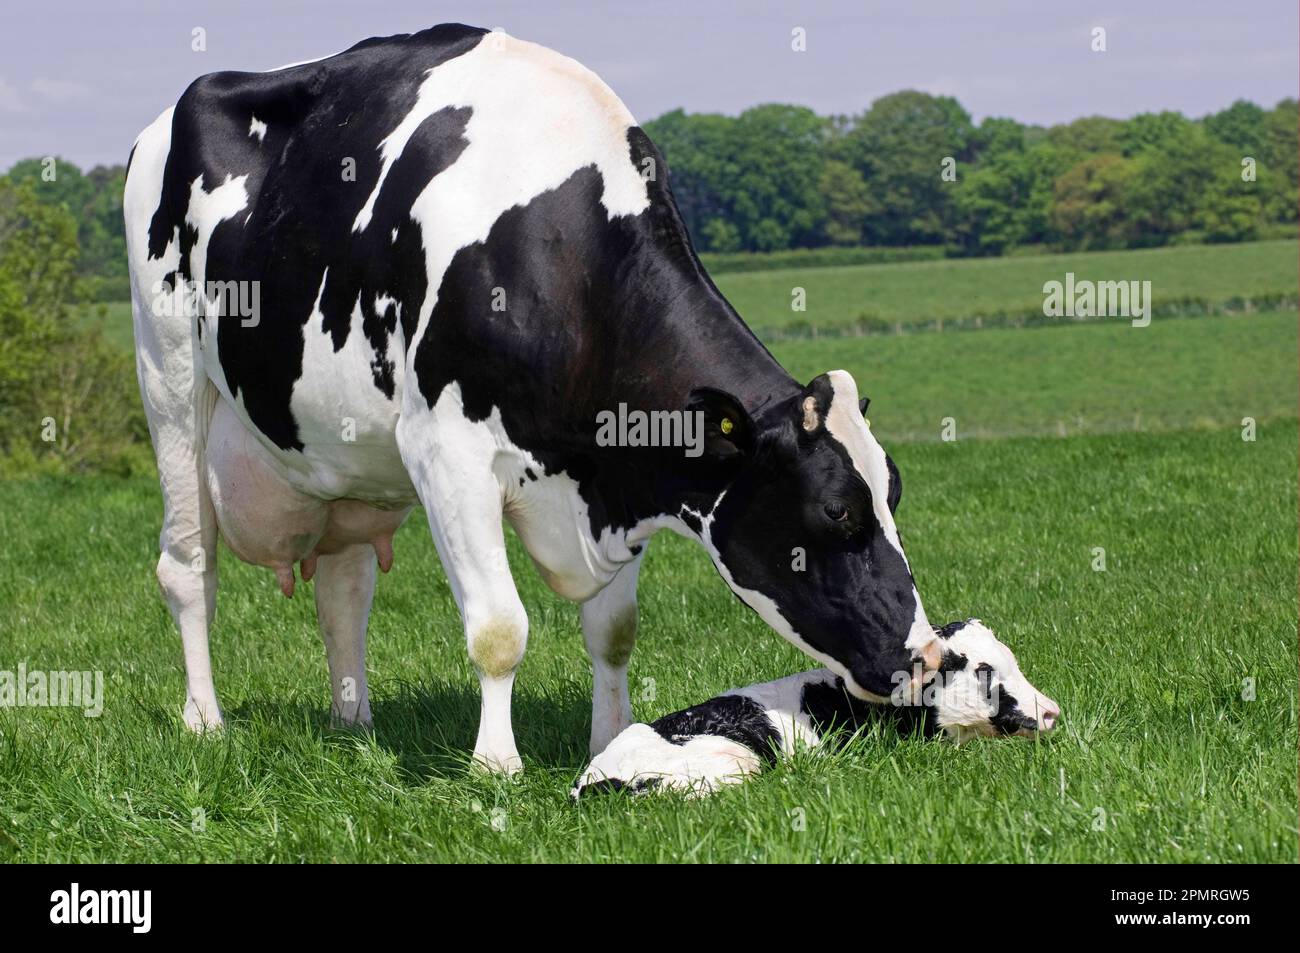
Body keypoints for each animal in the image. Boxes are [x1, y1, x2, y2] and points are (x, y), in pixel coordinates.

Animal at [126, 23, 945, 774]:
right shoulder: (446, 453)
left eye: (895, 493)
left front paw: (609, 740)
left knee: (344, 587)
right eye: (836, 511)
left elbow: (614, 629)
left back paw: (352, 722)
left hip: (343, 456)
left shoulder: (623, 475)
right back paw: (205, 721)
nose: (927, 659)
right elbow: (499, 628)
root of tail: (165, 117)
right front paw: (496, 765)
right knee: (187, 566)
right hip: (168, 376)